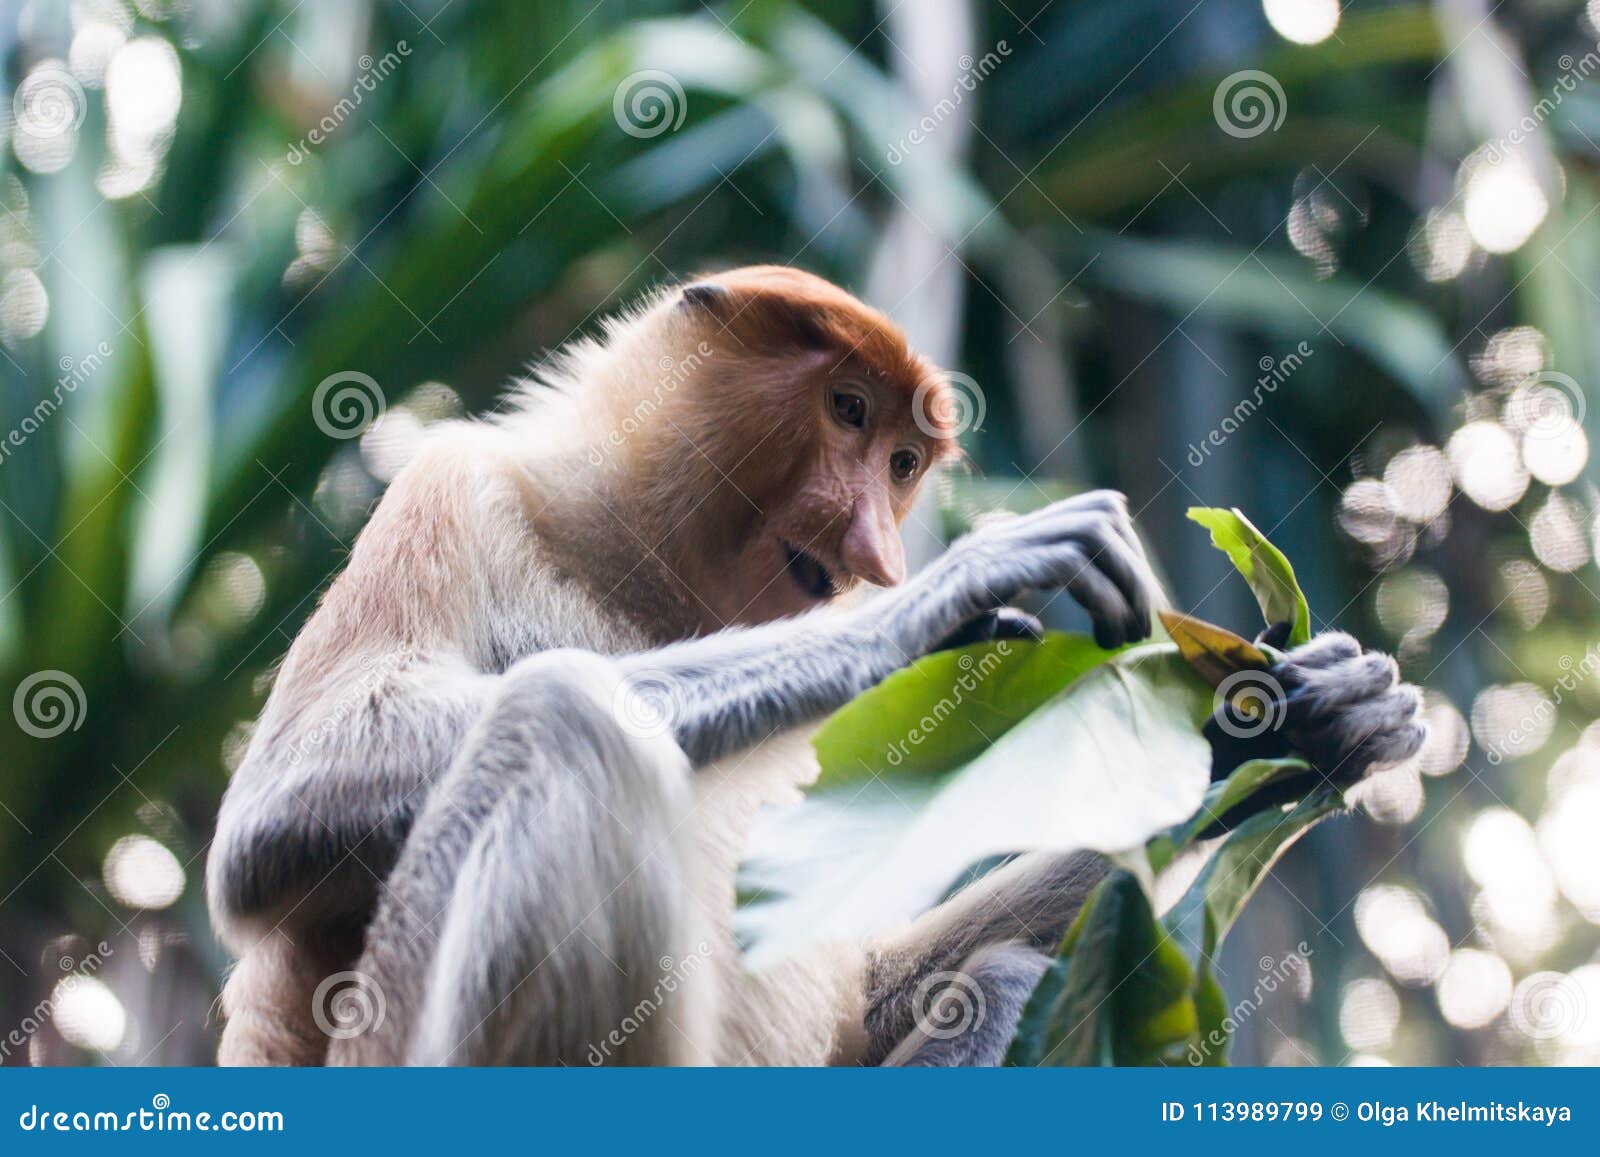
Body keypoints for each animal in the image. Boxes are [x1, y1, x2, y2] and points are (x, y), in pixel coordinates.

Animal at [205, 265, 1426, 1067]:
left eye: (903, 462)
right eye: (844, 409)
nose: (874, 554)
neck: (643, 577)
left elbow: (866, 983)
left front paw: (1294, 718)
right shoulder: (450, 489)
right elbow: (282, 805)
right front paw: (945, 600)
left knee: (995, 980)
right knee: (564, 714)